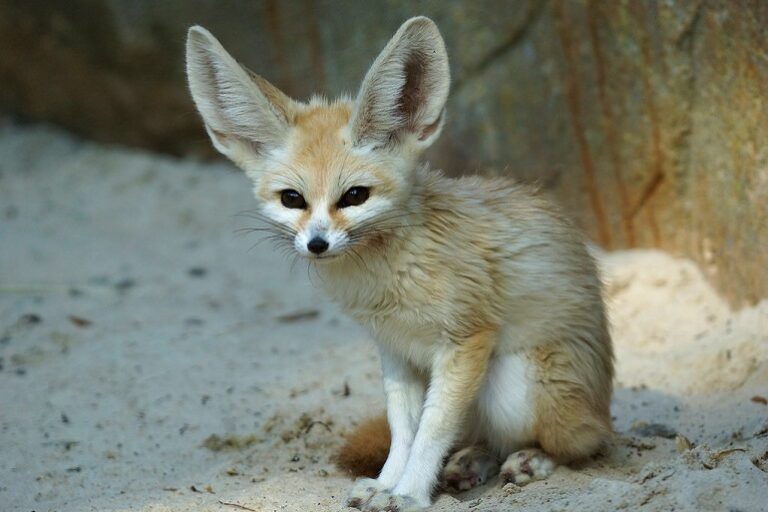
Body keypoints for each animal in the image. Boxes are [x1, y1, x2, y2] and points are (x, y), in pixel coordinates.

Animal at [185, 16, 614, 512]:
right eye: (292, 199)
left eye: (354, 196)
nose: (317, 244)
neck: (386, 277)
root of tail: (602, 404)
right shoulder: (395, 351)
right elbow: (402, 430)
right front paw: (386, 484)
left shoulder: (465, 341)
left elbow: (432, 430)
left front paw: (409, 493)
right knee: (489, 437)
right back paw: (475, 461)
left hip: (515, 383)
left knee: (585, 441)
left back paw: (535, 459)